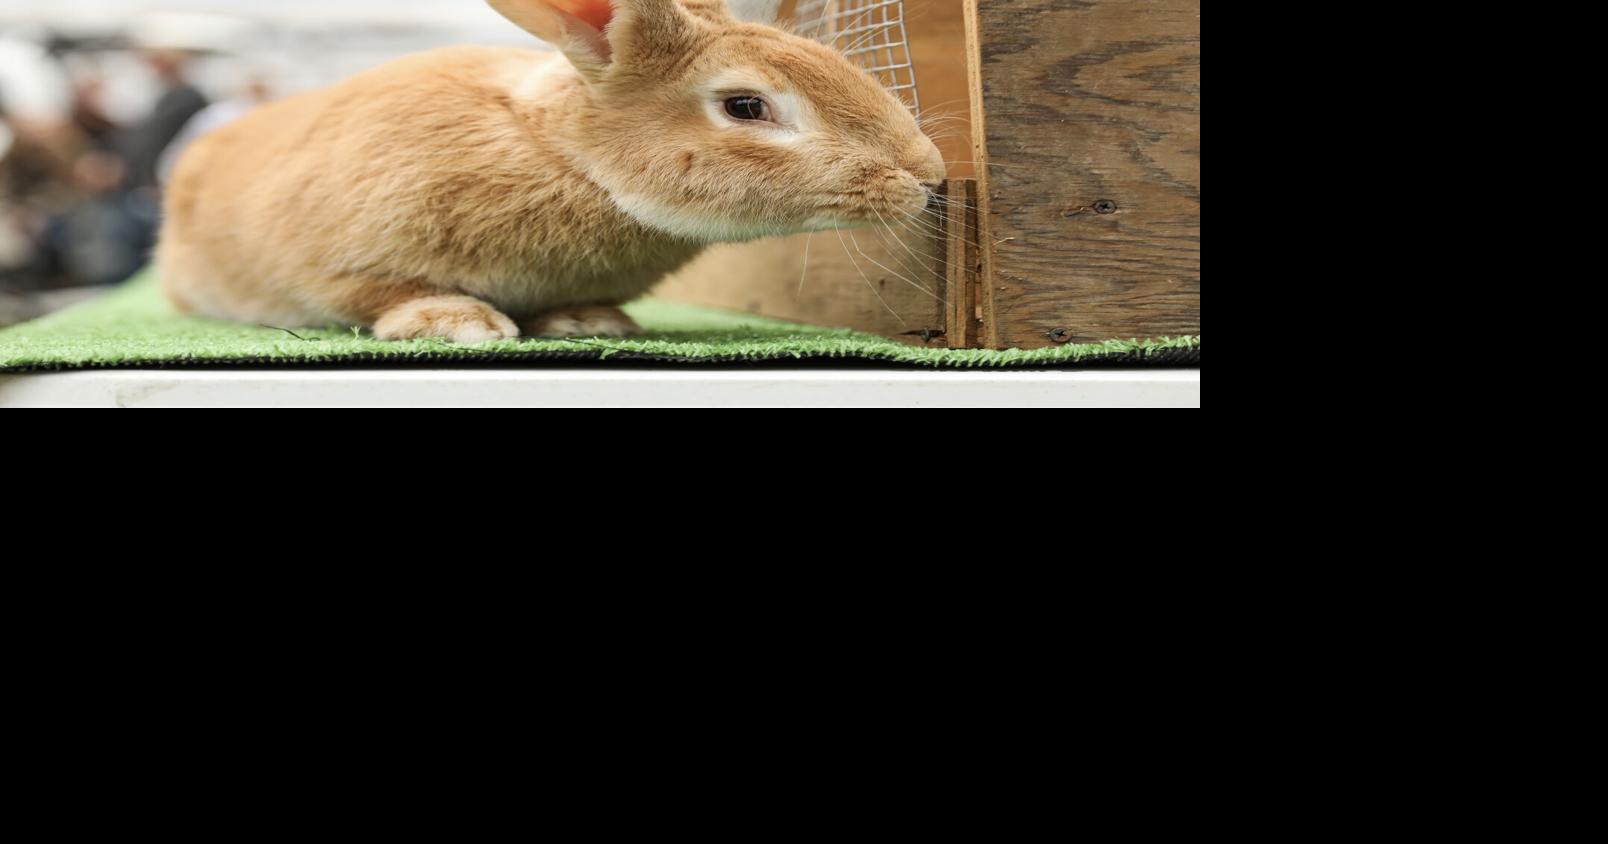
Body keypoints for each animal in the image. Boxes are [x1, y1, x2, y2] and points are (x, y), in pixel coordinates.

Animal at [156, 0, 947, 342]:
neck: (568, 157)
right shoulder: (341, 262)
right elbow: (378, 292)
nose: (929, 172)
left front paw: (590, 321)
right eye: (746, 106)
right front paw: (458, 325)